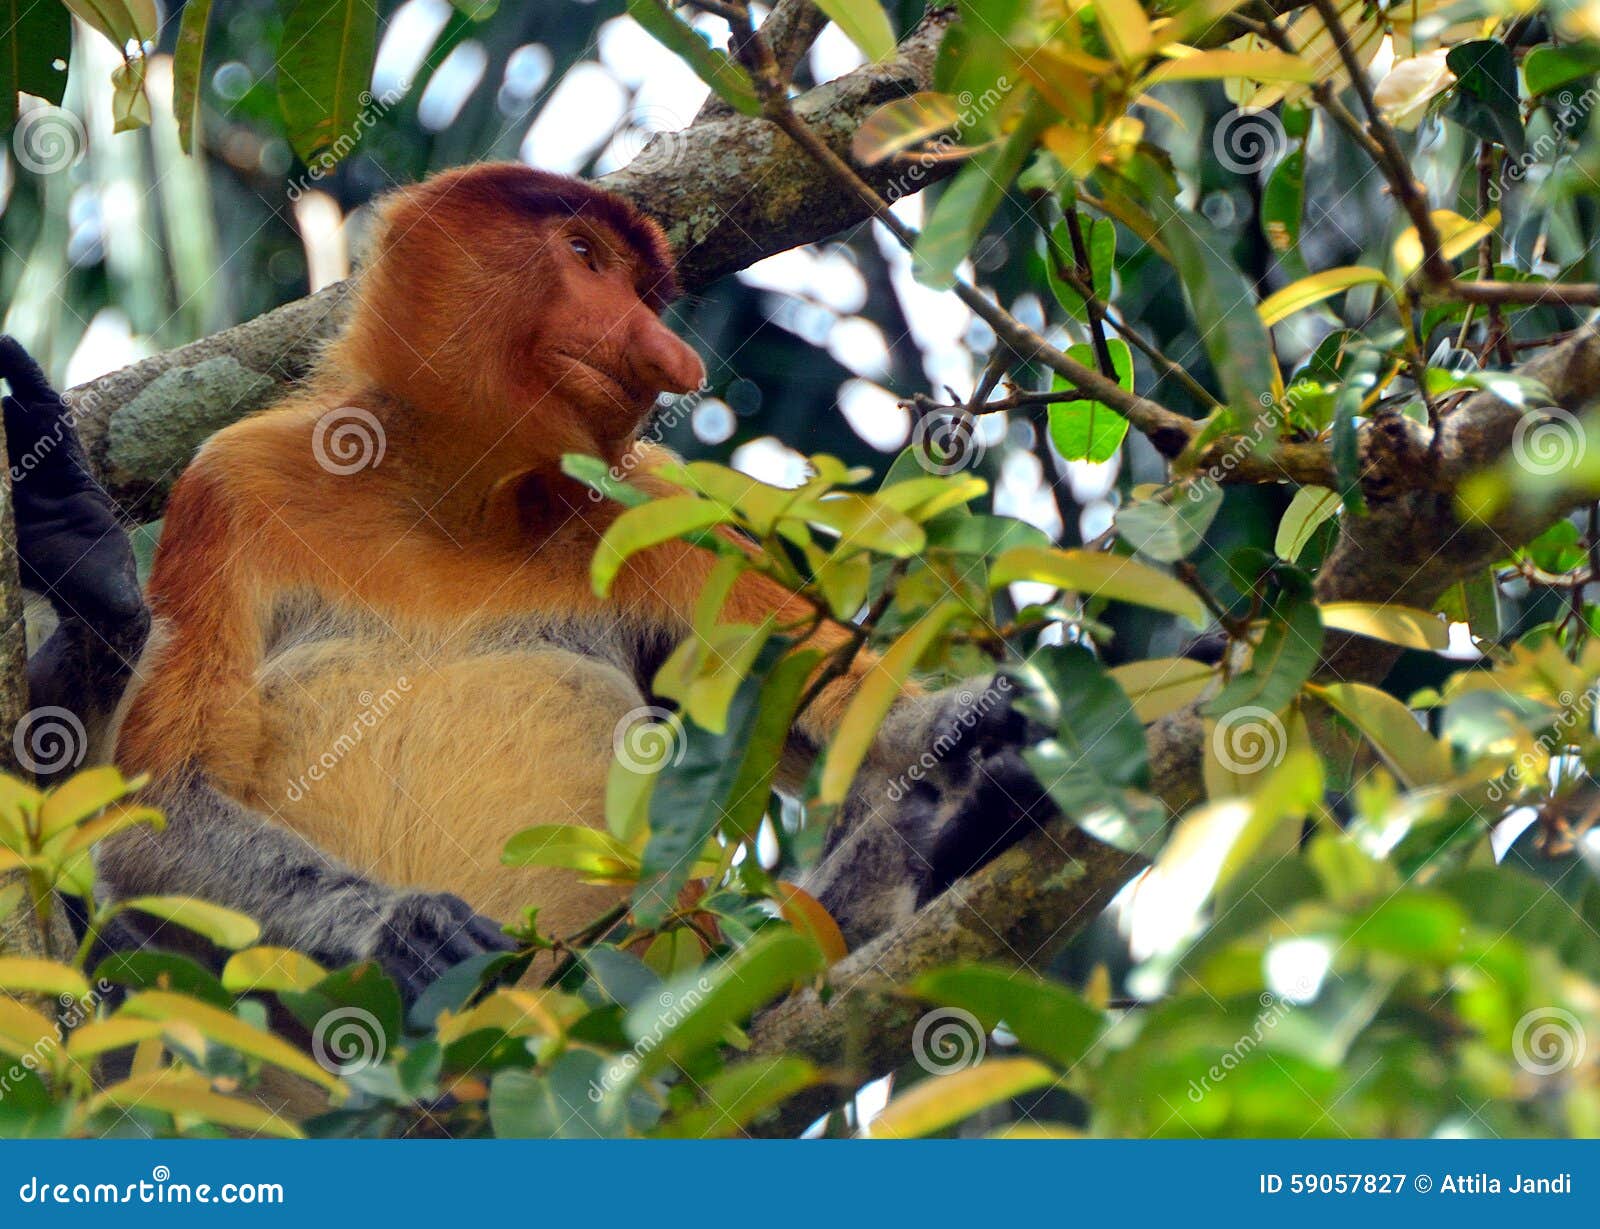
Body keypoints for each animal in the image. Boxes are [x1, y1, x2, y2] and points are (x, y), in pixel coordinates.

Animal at [17, 164, 1051, 1003]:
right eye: (584, 256)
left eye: (642, 288)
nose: (666, 356)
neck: (452, 500)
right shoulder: (233, 487)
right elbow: (157, 814)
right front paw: (402, 928)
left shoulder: (650, 504)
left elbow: (838, 712)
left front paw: (980, 716)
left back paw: (965, 828)